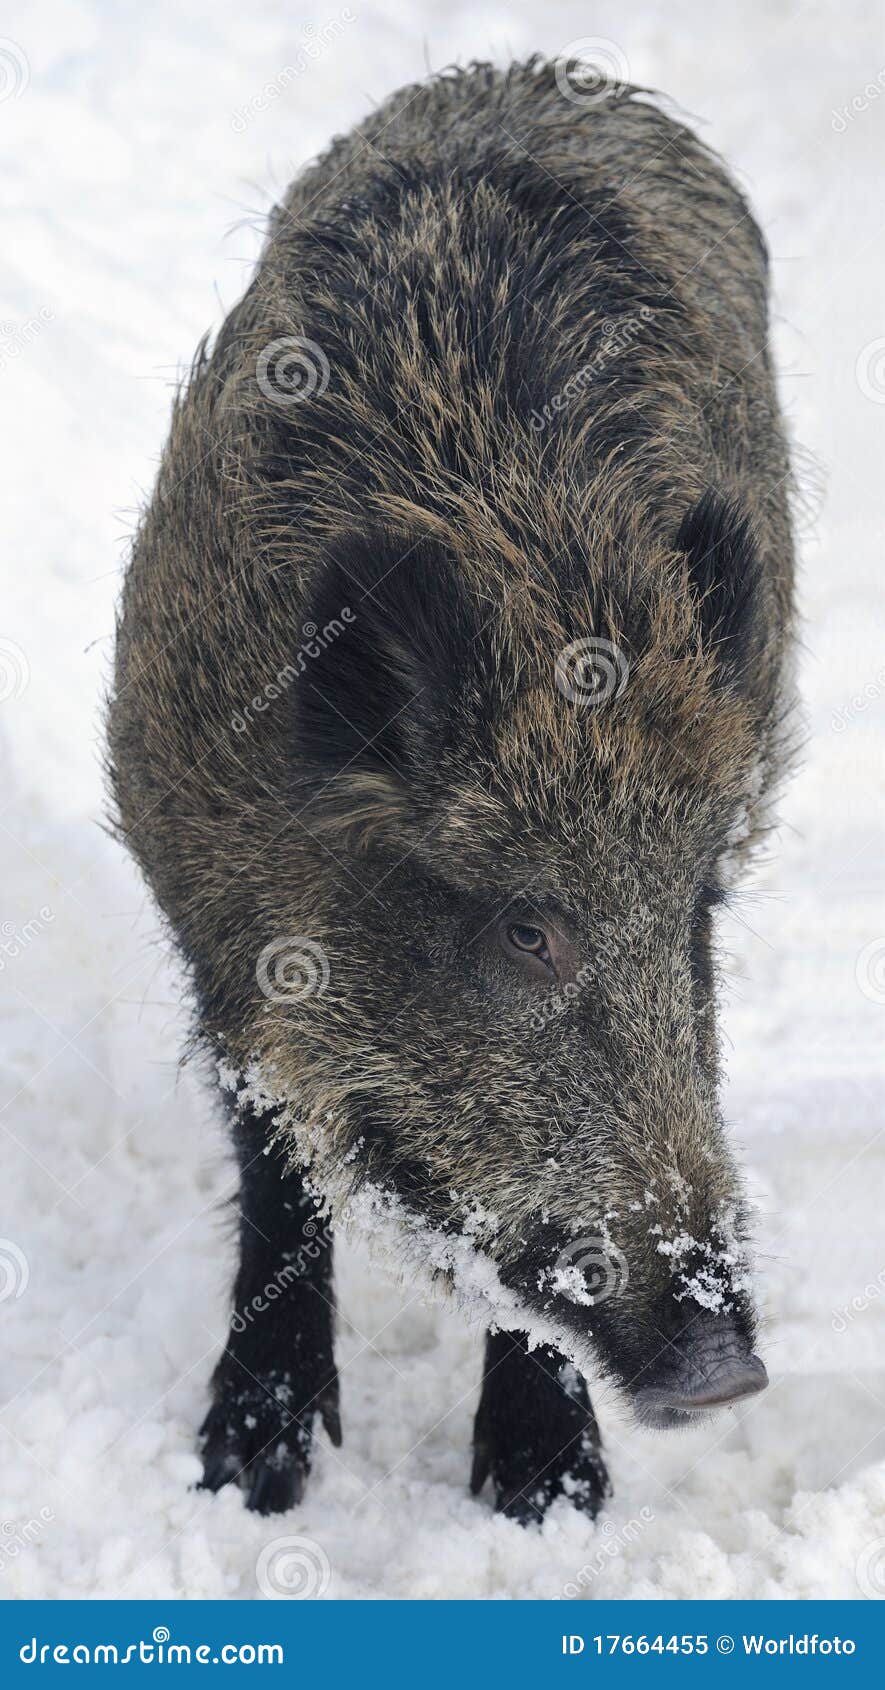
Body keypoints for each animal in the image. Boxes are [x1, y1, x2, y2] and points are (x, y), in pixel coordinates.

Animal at [108, 58, 795, 1523]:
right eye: (528, 927)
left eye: (694, 918)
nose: (726, 1373)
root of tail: (555, 76)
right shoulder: (213, 917)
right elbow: (279, 1166)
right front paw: (250, 1477)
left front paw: (546, 1503)